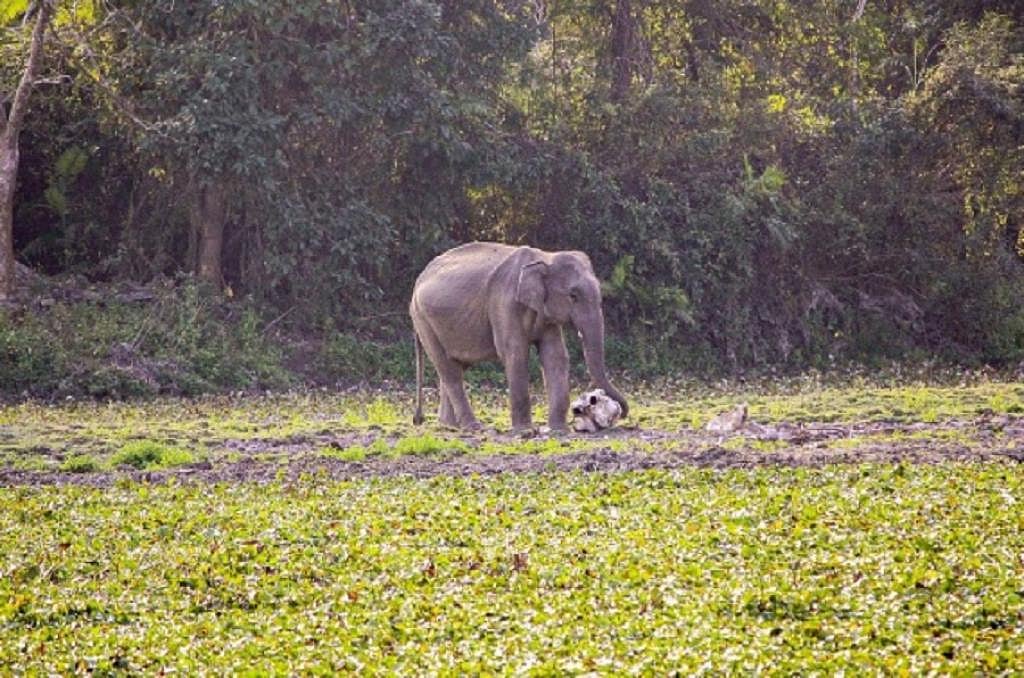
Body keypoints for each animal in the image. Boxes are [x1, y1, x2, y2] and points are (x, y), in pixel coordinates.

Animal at [409, 241, 628, 431]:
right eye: (573, 295)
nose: (621, 413)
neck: (545, 257)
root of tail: (418, 280)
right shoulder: (504, 303)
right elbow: (515, 353)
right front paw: (524, 430)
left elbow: (555, 355)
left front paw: (558, 430)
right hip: (423, 320)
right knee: (449, 370)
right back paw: (473, 427)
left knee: (454, 367)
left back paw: (451, 426)